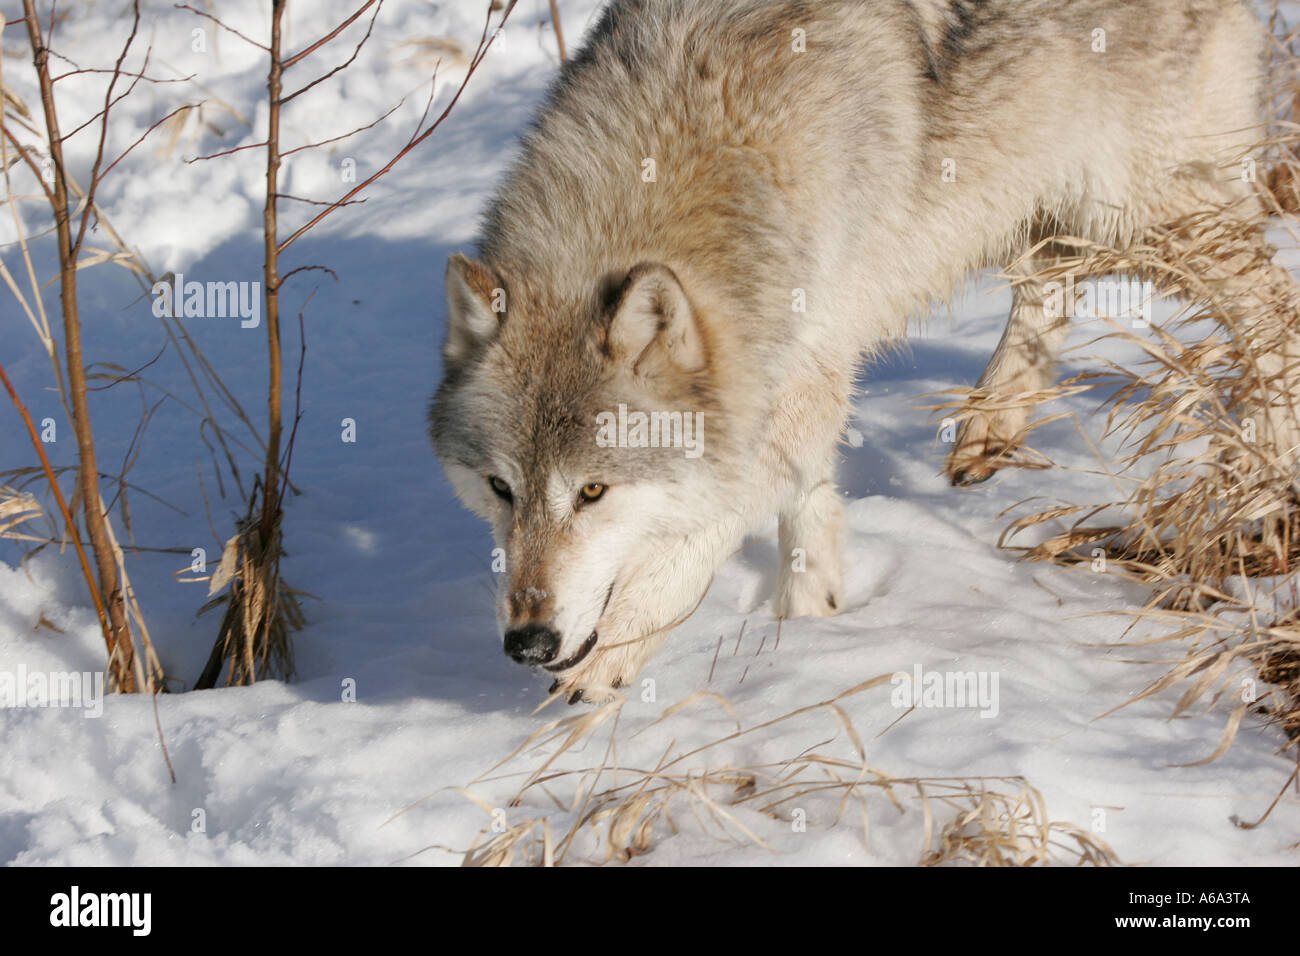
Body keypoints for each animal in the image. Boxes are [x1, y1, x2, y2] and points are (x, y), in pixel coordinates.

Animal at [430, 0, 1276, 702]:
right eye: (500, 489)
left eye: (594, 492)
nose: (527, 642)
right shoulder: (802, 376)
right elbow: (810, 504)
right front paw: (814, 624)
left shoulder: (804, 375)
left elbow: (714, 521)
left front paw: (623, 646)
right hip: (1047, 204)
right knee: (1050, 286)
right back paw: (990, 430)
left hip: (1150, 219)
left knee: (1267, 297)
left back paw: (1268, 485)